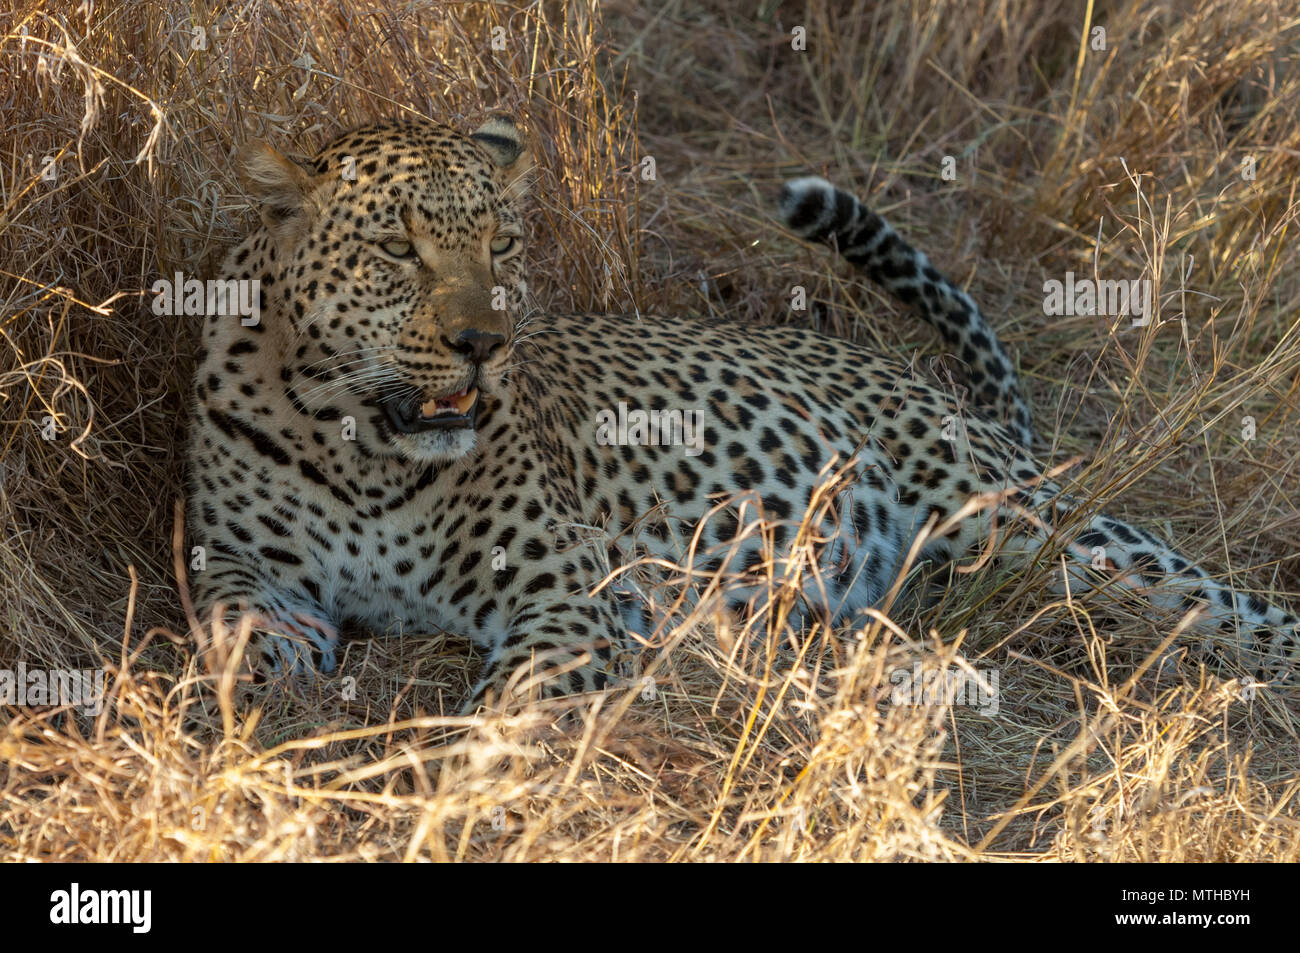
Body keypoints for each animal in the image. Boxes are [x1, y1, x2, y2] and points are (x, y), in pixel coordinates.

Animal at [186, 114, 1299, 713]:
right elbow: (237, 634)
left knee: (1215, 598)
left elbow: (517, 700)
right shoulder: (243, 568)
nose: (482, 342)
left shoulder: (567, 593)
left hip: (1019, 519)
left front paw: (465, 774)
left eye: (500, 245)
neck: (367, 453)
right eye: (396, 250)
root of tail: (915, 379)